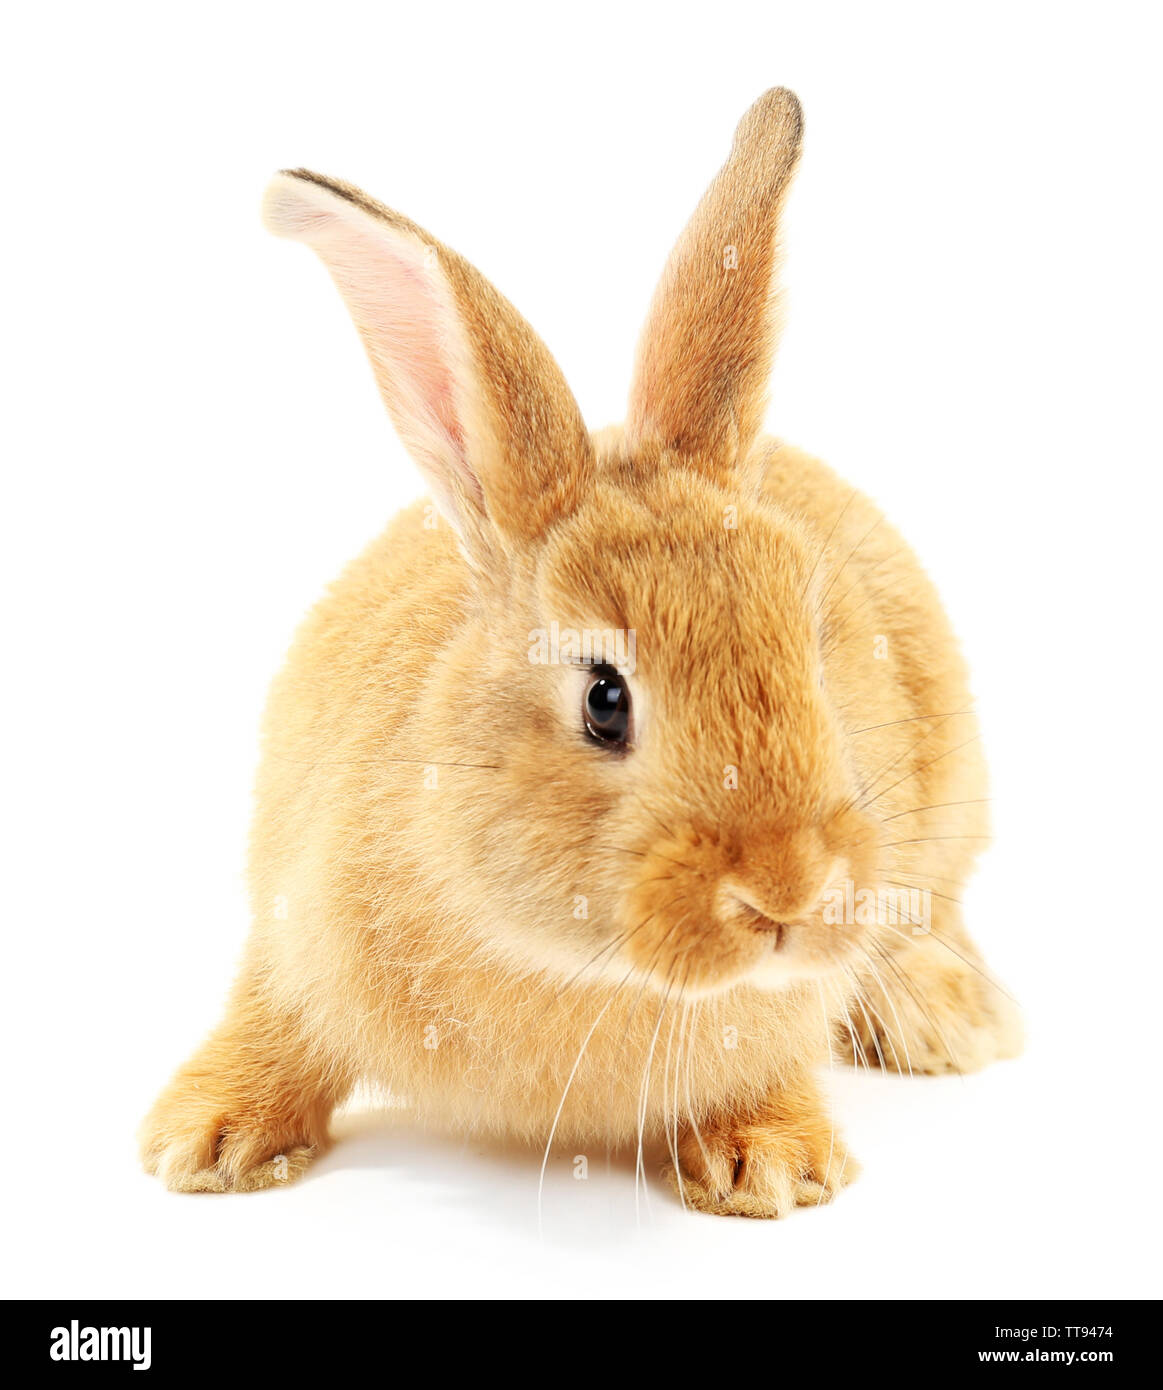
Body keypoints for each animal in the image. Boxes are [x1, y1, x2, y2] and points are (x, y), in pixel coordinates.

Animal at [141, 88, 1022, 1216]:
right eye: (605, 700)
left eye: (817, 660)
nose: (785, 890)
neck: (576, 964)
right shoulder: (291, 923)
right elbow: (273, 1022)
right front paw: (204, 1141)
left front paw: (772, 1165)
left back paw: (949, 1017)